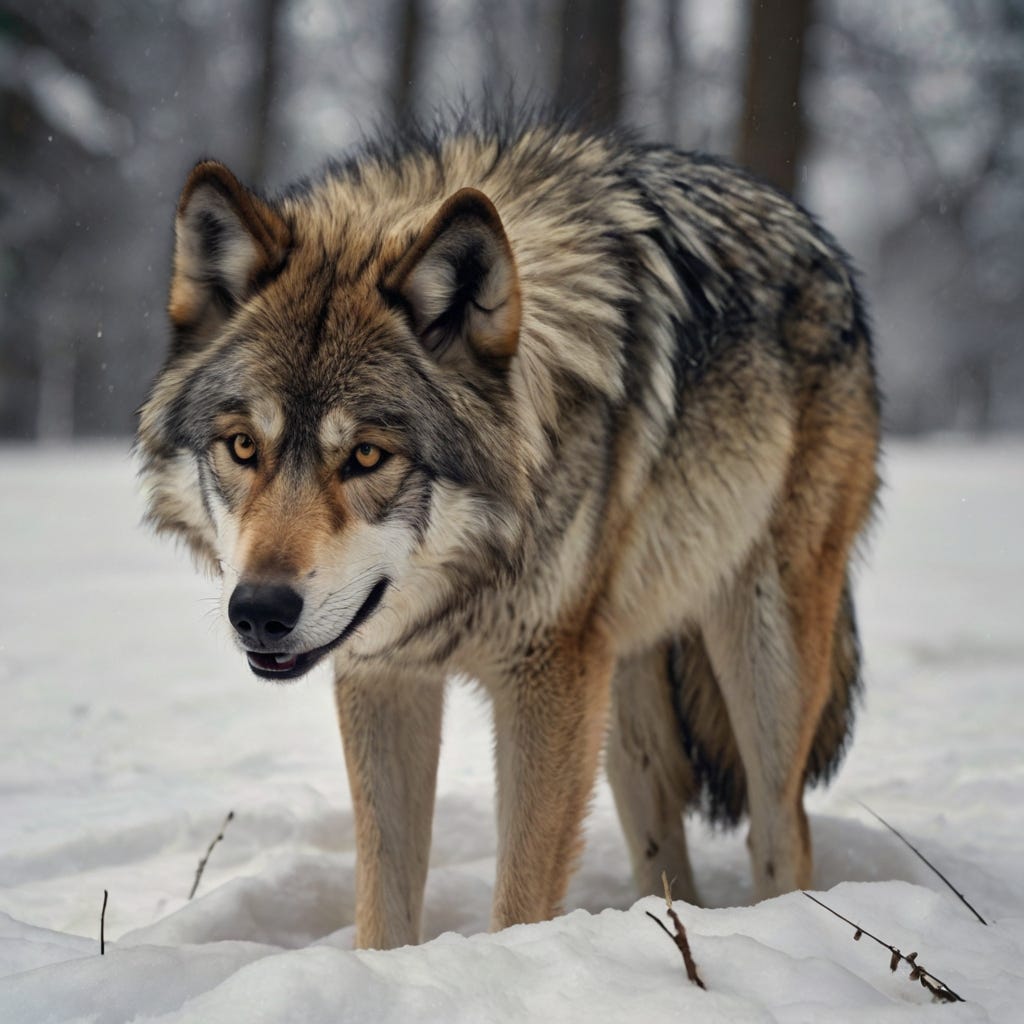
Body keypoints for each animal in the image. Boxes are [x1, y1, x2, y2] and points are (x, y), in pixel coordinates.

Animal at [137, 117, 880, 950]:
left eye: (366, 456)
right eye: (242, 447)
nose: (259, 611)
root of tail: (813, 234)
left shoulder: (544, 678)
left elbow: (521, 900)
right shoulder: (386, 675)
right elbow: (383, 903)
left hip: (759, 657)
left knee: (781, 829)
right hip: (622, 706)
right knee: (665, 848)